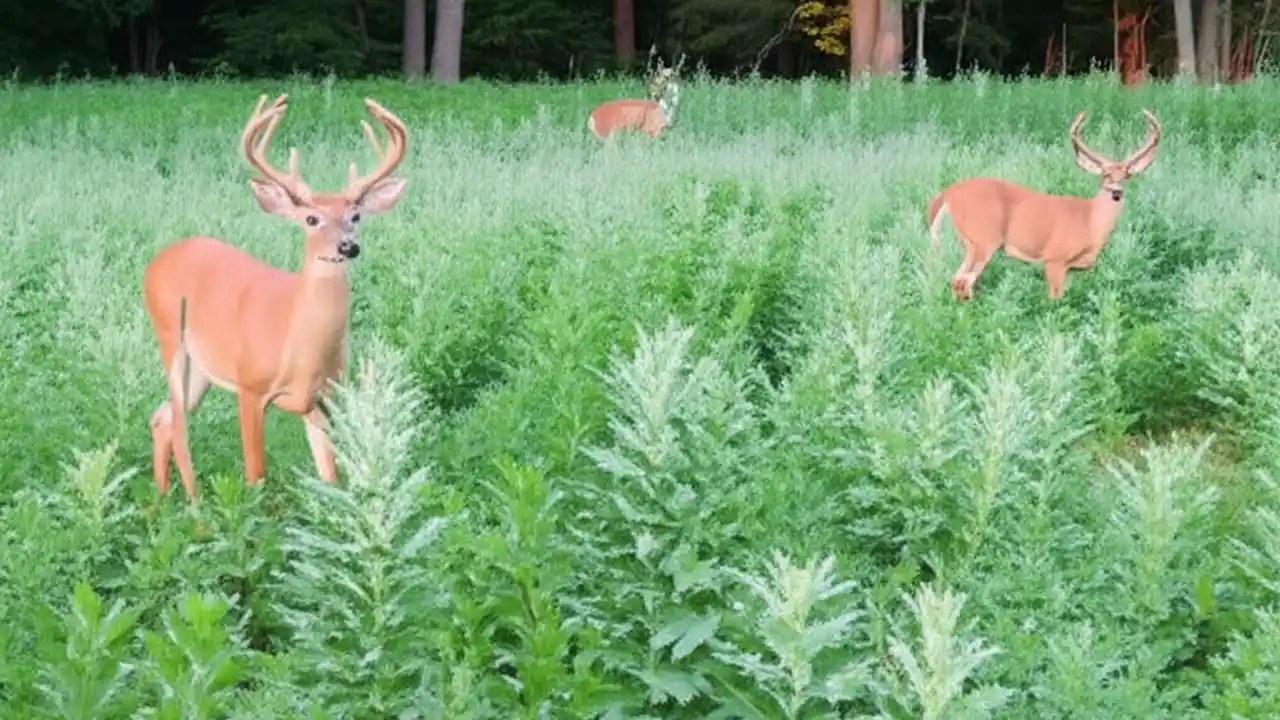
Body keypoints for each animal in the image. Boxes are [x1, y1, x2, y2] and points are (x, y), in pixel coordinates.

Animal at [141, 93, 408, 499]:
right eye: (311, 219)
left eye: (356, 216)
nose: (348, 246)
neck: (299, 347)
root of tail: (156, 262)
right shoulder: (250, 387)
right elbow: (256, 475)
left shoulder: (324, 396)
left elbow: (330, 477)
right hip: (170, 338)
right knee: (180, 430)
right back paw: (194, 501)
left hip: (201, 370)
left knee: (162, 418)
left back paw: (161, 496)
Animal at [926, 108, 1161, 301]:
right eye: (1105, 176)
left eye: (1126, 176)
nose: (1116, 192)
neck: (1090, 221)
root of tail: (946, 194)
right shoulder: (1055, 258)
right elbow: (1054, 300)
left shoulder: (1071, 268)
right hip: (983, 238)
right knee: (963, 281)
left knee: (958, 281)